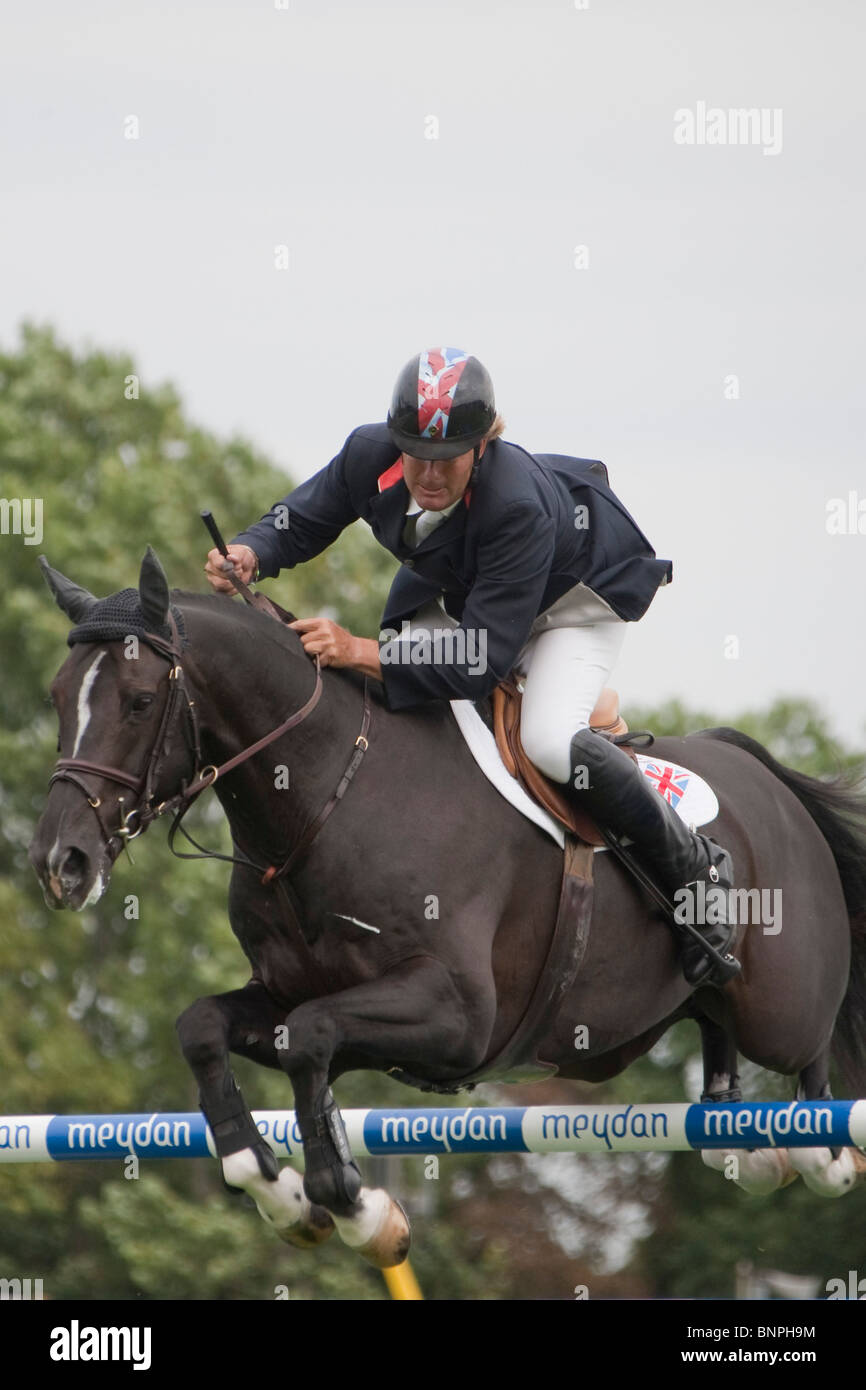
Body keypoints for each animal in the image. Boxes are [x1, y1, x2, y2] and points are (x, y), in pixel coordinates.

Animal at [28, 550, 866, 1265]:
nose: (59, 863)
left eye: (140, 701)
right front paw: (278, 1191)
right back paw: (738, 1141)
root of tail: (766, 778)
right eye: (57, 697)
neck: (327, 797)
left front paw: (356, 1207)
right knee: (715, 1029)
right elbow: (207, 1028)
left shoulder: (457, 1017)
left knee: (810, 1049)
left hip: (781, 1009)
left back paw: (817, 1149)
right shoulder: (288, 995)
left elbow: (311, 1039)